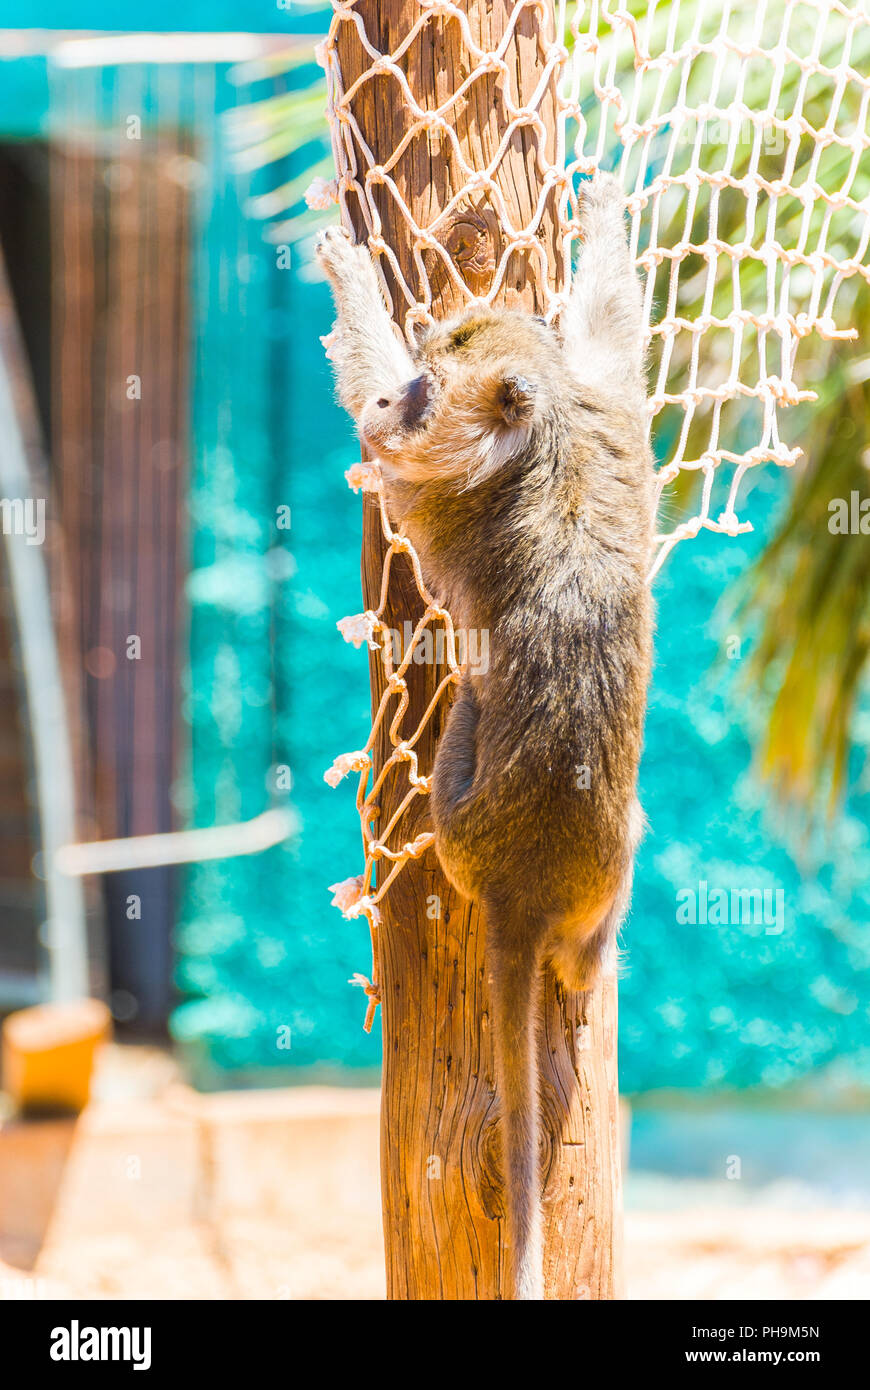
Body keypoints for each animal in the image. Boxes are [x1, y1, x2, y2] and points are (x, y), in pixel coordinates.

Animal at [316, 170, 654, 1301]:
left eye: (429, 382)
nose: (405, 394)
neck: (540, 432)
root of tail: (524, 888)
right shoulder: (609, 410)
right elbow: (610, 340)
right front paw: (605, 222)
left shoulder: (436, 468)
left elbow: (380, 441)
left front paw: (350, 278)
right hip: (606, 872)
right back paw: (590, 965)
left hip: (460, 818)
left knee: (466, 699)